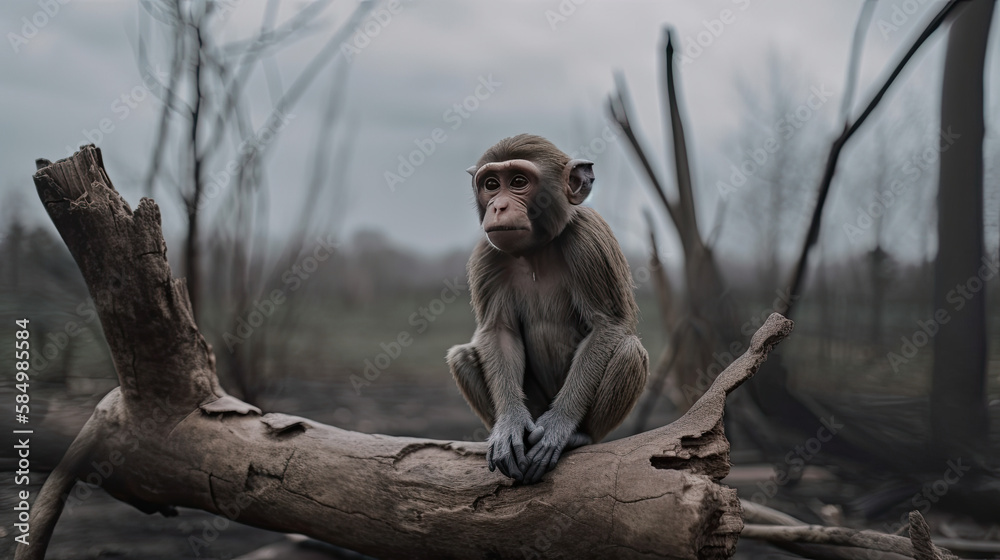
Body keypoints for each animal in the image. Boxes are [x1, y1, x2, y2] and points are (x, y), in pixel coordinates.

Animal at [446, 134, 649, 484]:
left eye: (518, 182)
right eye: (491, 184)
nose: (498, 206)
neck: (537, 251)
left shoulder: (590, 239)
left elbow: (606, 326)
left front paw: (559, 426)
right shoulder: (487, 254)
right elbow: (499, 332)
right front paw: (509, 425)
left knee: (628, 351)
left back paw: (579, 436)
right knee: (462, 356)